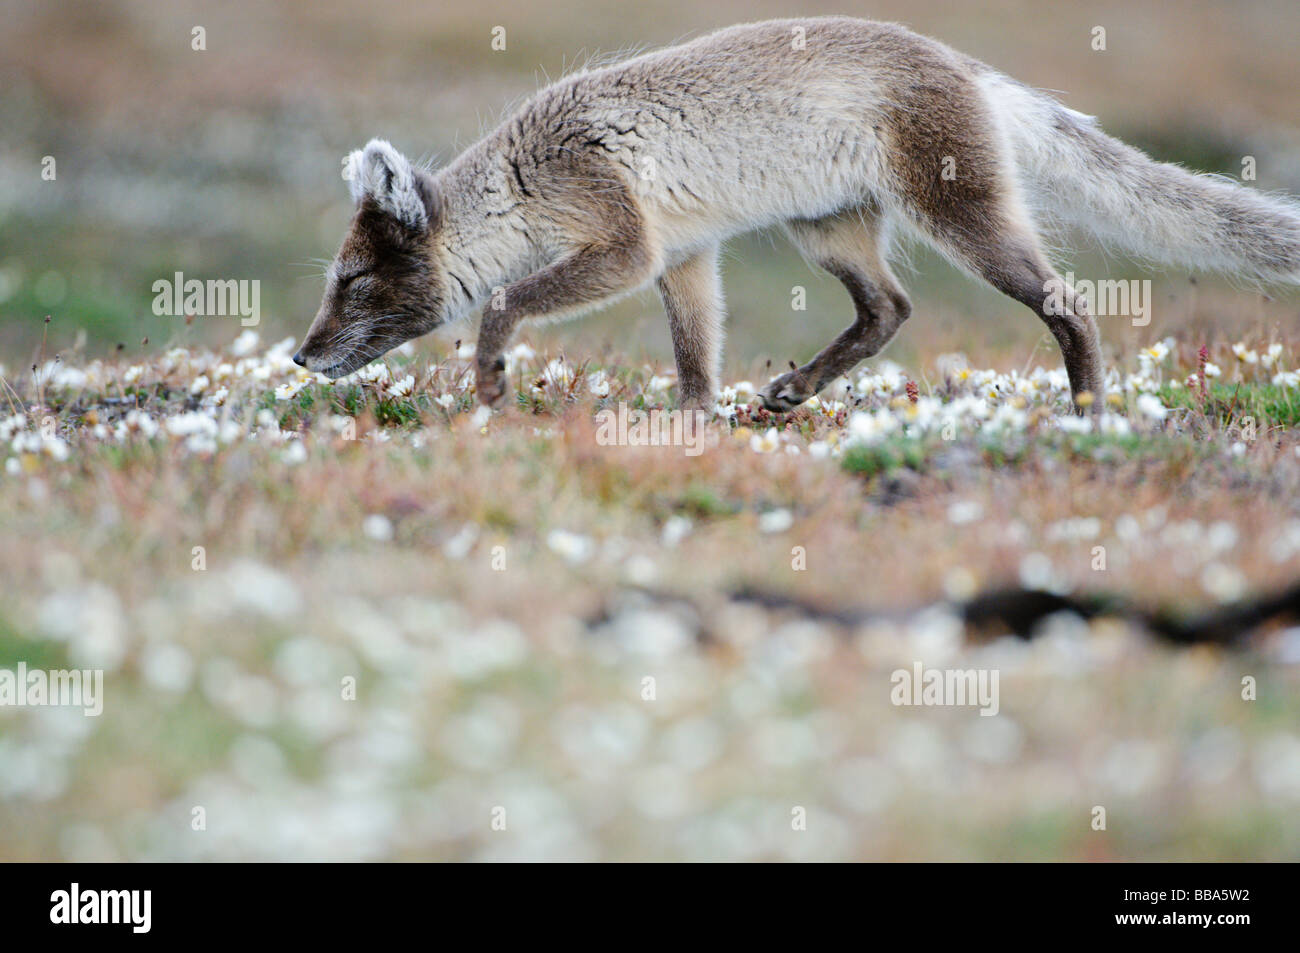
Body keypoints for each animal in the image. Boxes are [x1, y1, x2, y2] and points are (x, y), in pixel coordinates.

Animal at [294, 16, 1300, 413]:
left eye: (353, 280)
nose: (298, 356)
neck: (523, 175)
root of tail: (967, 65)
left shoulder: (623, 241)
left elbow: (506, 301)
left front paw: (492, 376)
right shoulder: (683, 257)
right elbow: (696, 357)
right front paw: (694, 423)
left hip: (964, 218)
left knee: (1072, 304)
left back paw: (1088, 411)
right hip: (830, 230)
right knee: (890, 308)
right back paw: (794, 392)